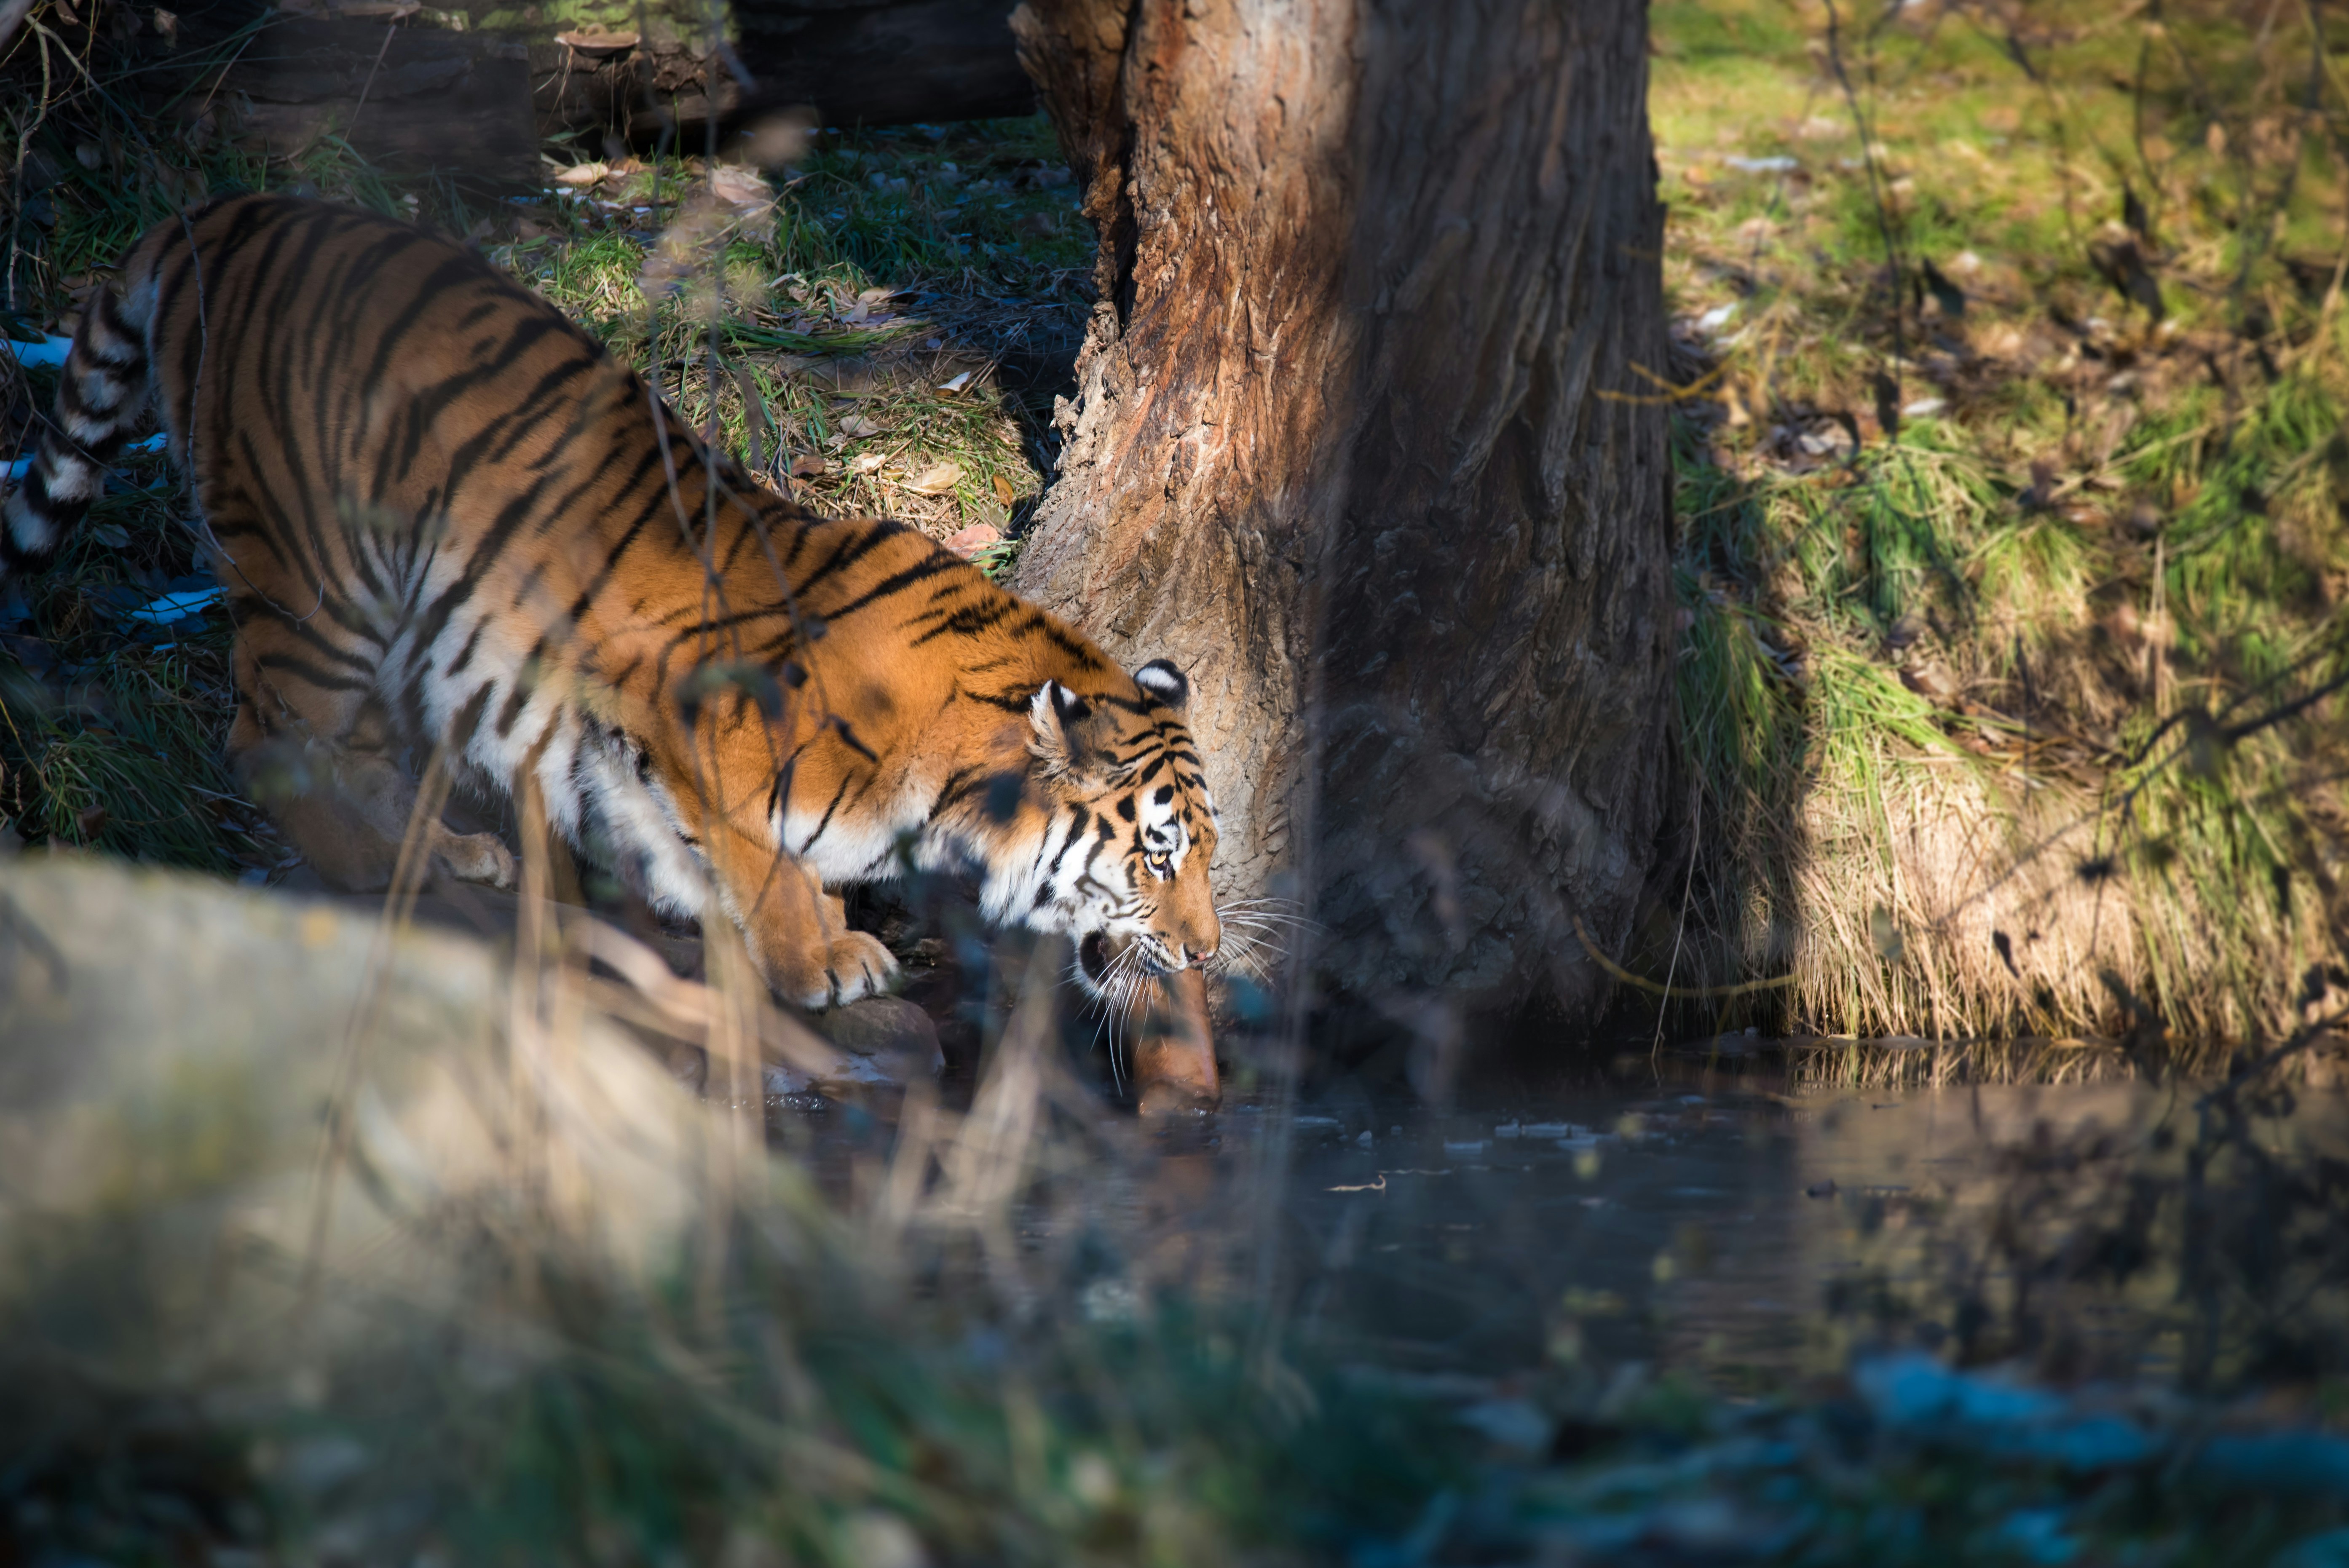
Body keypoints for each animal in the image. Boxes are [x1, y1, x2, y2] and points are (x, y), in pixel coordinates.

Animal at [1, 192, 1221, 1010]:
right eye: (1157, 854)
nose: (1209, 952)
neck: (943, 786)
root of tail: (232, 208)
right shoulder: (686, 715)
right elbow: (758, 854)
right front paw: (817, 957)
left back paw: (444, 851)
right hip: (318, 578)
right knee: (265, 737)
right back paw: (368, 863)